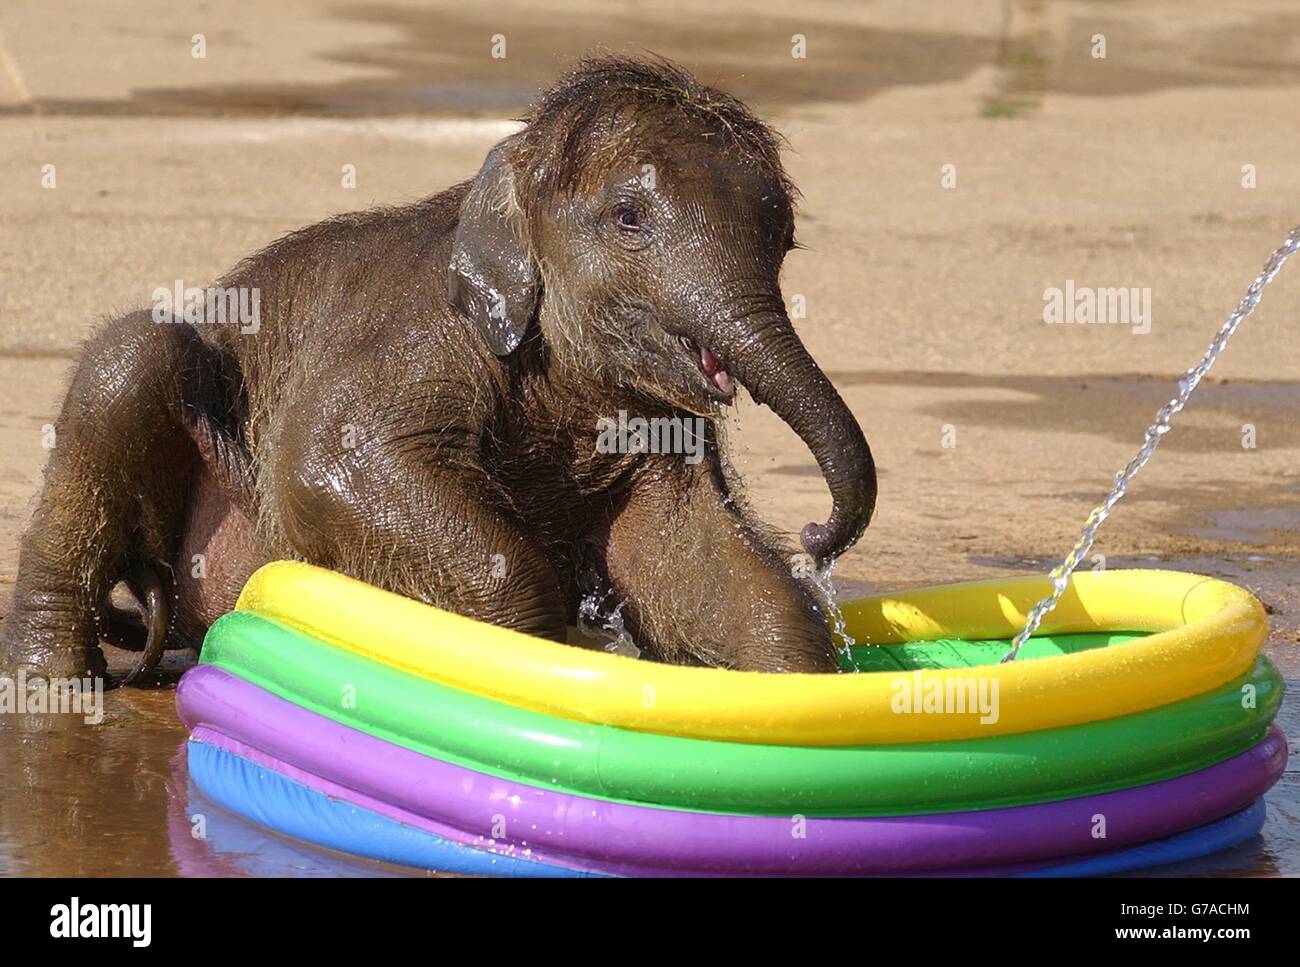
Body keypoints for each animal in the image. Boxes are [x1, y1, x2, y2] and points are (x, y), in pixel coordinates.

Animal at [0, 55, 876, 684]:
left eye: (785, 238)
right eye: (629, 218)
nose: (816, 532)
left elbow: (690, 555)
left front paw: (795, 692)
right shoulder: (424, 337)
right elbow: (328, 458)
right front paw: (531, 656)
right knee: (127, 358)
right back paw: (55, 688)